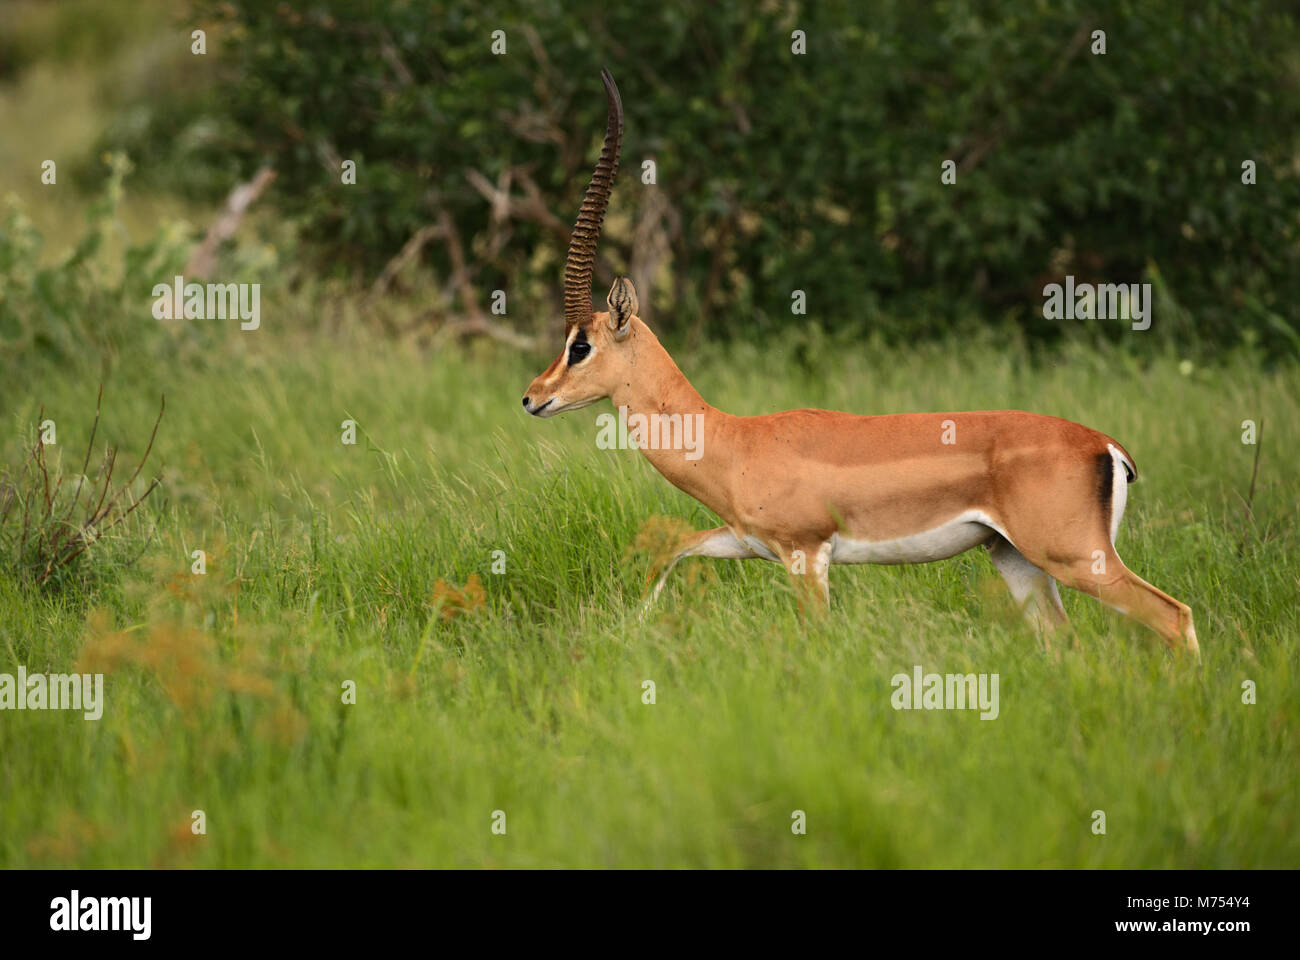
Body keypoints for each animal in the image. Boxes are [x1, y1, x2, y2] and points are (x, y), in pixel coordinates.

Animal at [522, 69, 1199, 657]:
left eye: (579, 343)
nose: (532, 397)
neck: (735, 443)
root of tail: (1106, 447)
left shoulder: (804, 555)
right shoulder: (745, 542)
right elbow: (670, 551)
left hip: (1074, 557)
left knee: (1174, 615)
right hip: (1017, 559)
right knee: (1066, 639)